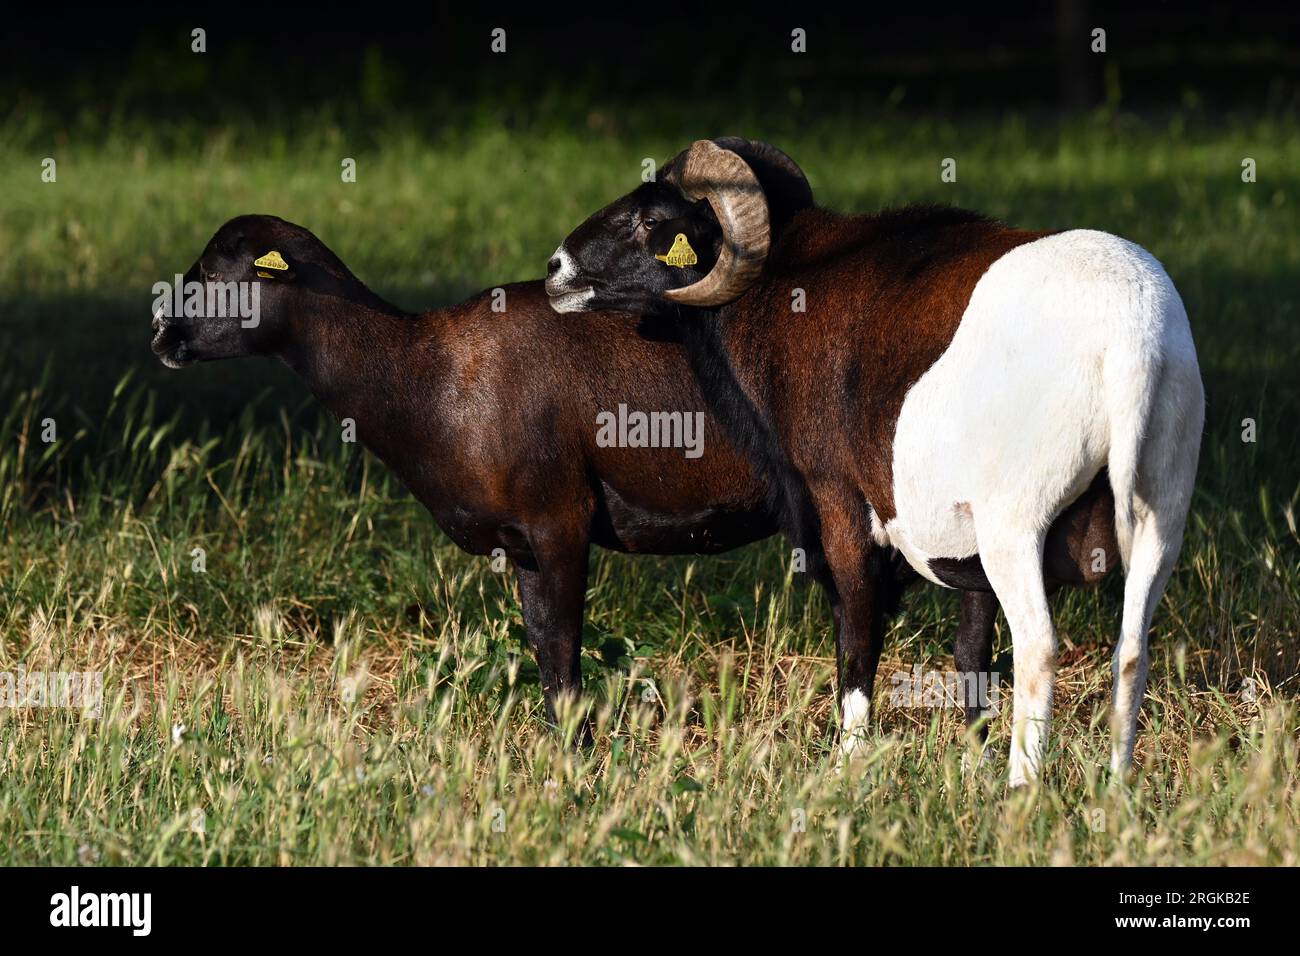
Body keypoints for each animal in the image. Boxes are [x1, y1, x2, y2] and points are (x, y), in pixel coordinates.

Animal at [545, 138, 1205, 783]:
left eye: (651, 220)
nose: (555, 270)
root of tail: (1130, 342)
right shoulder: (966, 549)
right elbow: (971, 655)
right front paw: (972, 769)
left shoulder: (839, 502)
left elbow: (858, 636)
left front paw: (848, 763)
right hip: (1159, 517)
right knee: (1132, 650)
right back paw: (1116, 791)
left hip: (1016, 525)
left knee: (1039, 647)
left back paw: (1024, 791)